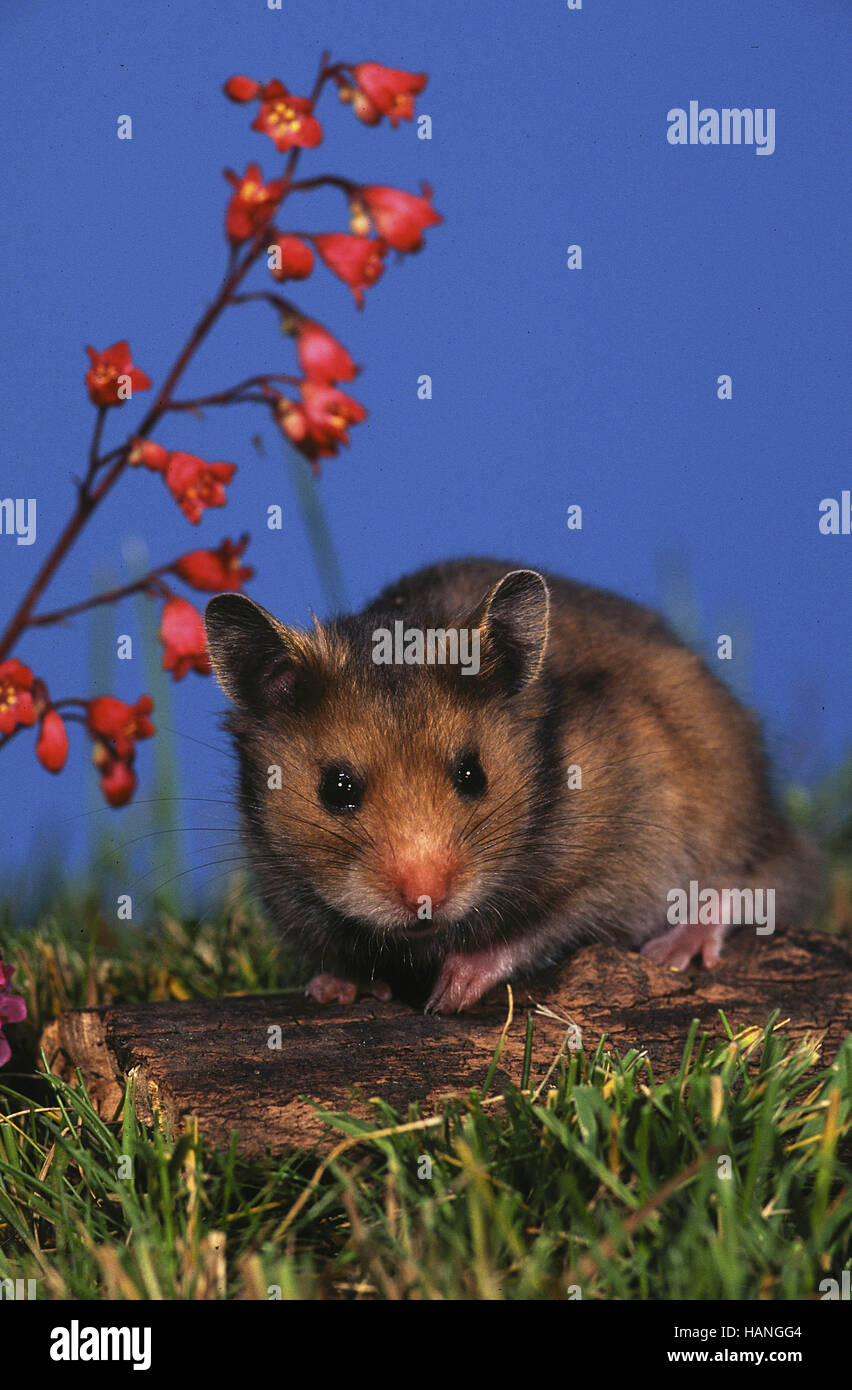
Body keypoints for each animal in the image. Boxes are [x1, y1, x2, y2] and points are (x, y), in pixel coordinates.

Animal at [204, 557, 823, 1013]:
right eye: (336, 788)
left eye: (472, 774)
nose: (426, 899)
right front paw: (332, 988)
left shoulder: (615, 863)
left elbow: (539, 928)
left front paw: (449, 993)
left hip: (732, 811)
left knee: (760, 880)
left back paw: (678, 947)